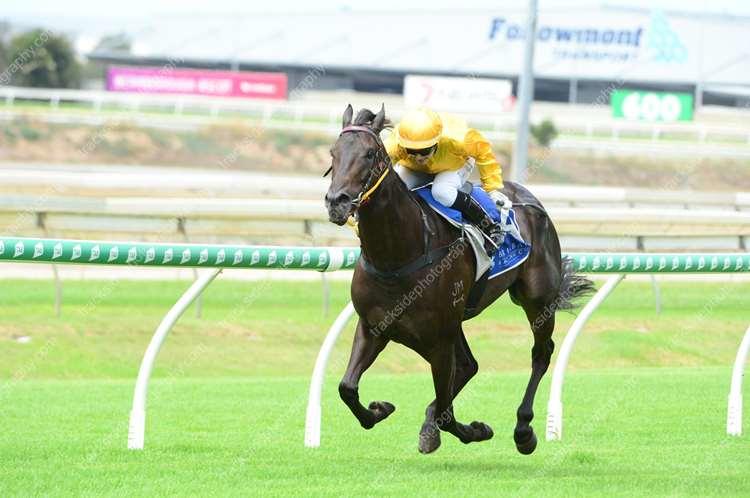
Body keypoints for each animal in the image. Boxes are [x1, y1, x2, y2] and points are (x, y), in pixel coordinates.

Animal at [324, 104, 593, 455]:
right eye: (333, 152)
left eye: (370, 154)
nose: (337, 202)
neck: (399, 255)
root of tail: (530, 200)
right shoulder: (374, 327)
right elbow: (347, 387)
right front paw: (379, 410)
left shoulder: (439, 340)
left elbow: (448, 412)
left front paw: (475, 430)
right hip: (457, 319)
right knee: (470, 365)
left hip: (537, 300)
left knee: (541, 353)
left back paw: (523, 430)